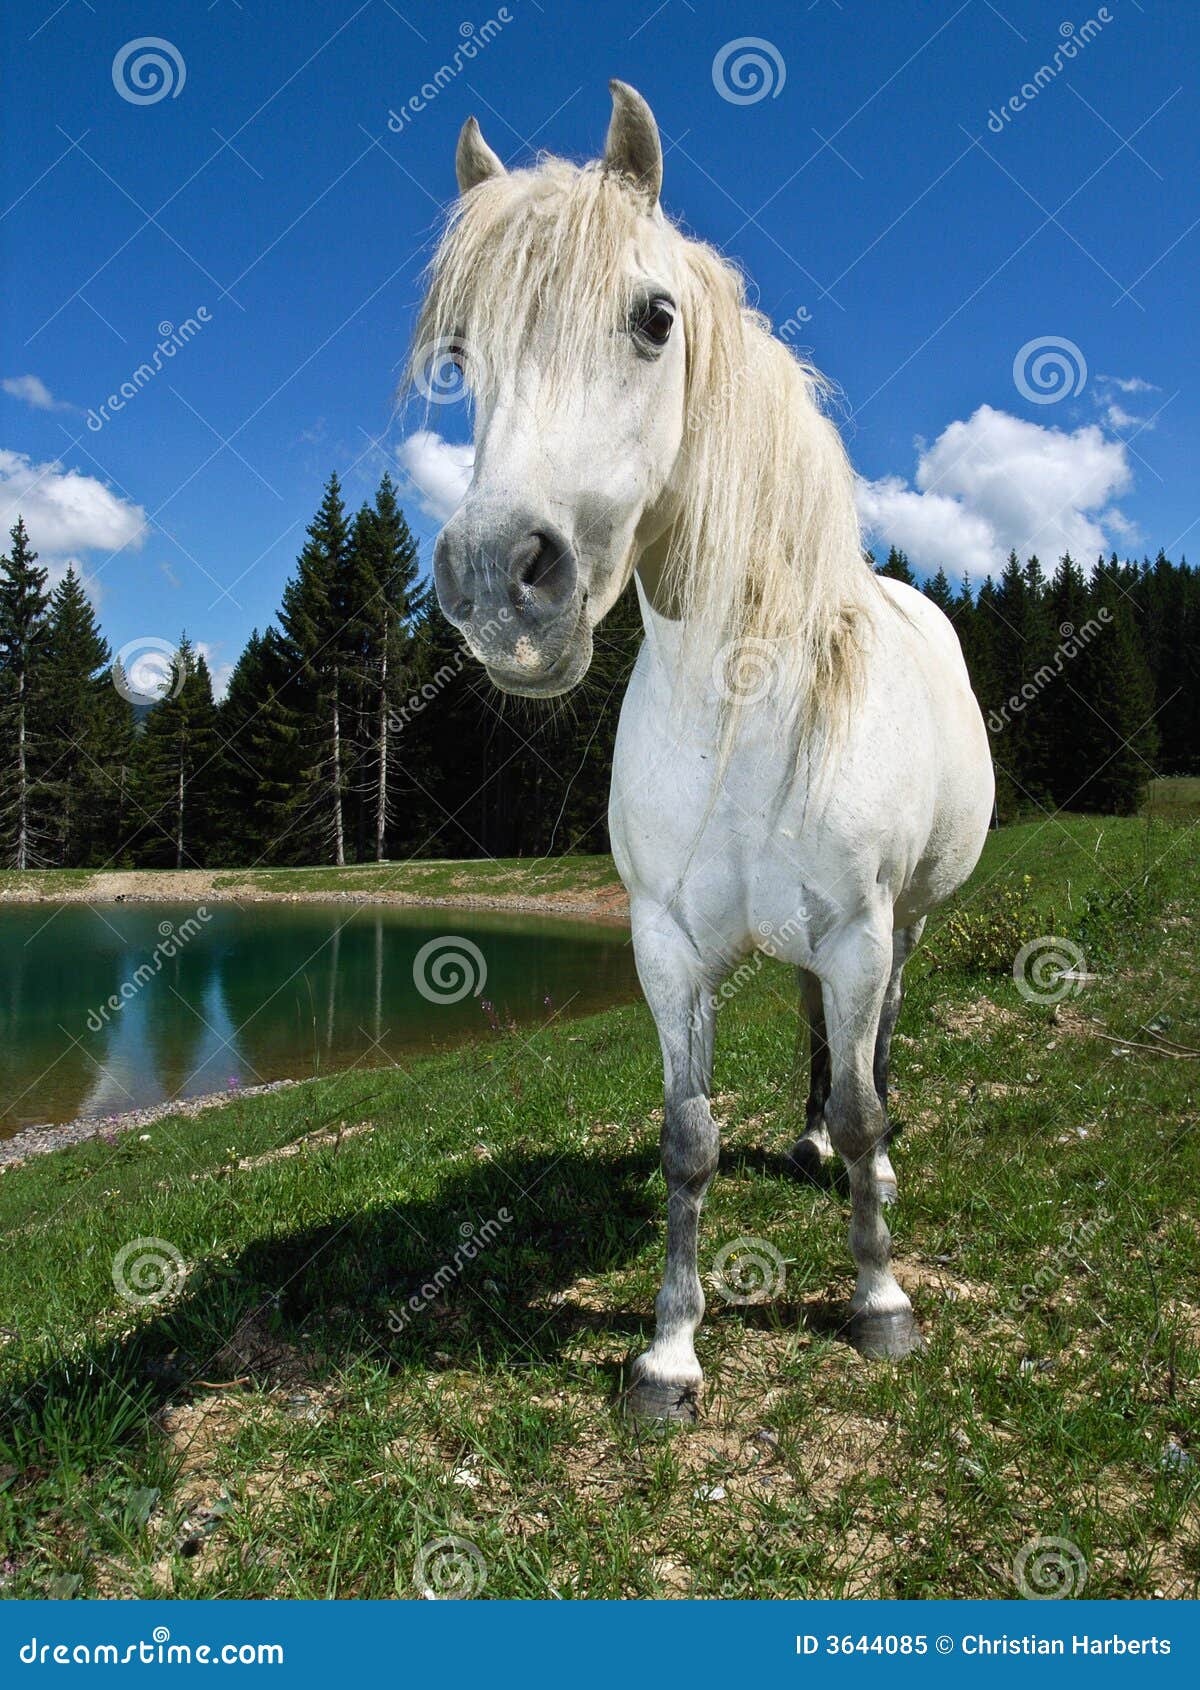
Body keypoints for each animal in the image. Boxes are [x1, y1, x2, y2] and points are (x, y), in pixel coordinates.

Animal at [414, 82, 994, 1422]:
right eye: (461, 355)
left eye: (654, 317)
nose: (500, 582)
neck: (746, 718)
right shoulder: (669, 946)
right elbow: (689, 1139)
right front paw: (669, 1352)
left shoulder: (863, 928)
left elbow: (870, 1102)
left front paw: (878, 1297)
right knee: (823, 1036)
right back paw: (809, 1142)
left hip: (907, 924)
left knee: (878, 1047)